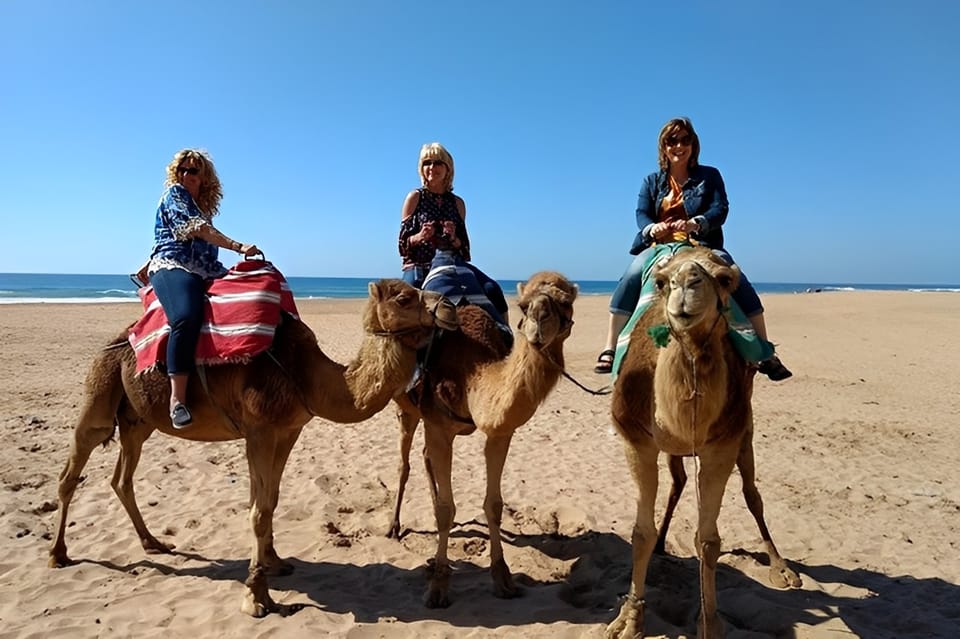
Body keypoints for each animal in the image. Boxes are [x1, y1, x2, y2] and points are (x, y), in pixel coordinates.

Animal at [48, 279, 458, 618]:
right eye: (405, 297)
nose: (450, 307)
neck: (306, 374)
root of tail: (119, 340)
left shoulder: (288, 429)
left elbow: (270, 500)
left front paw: (274, 562)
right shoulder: (259, 429)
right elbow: (258, 512)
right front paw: (256, 595)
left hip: (138, 420)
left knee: (122, 477)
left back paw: (152, 543)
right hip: (100, 391)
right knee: (71, 472)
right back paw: (58, 554)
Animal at [388, 271, 577, 608]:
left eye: (566, 302)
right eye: (523, 304)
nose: (538, 323)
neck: (471, 373)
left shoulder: (500, 432)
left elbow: (494, 504)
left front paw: (503, 580)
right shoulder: (438, 426)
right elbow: (445, 510)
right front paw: (438, 587)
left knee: (424, 457)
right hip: (407, 409)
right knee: (405, 463)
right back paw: (394, 527)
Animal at [605, 248, 798, 639]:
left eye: (724, 279)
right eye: (662, 282)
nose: (686, 283)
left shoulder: (721, 446)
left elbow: (708, 540)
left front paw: (709, 623)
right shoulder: (637, 441)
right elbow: (640, 533)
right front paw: (629, 619)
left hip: (745, 430)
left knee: (752, 494)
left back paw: (781, 568)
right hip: (673, 448)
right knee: (678, 483)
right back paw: (662, 544)